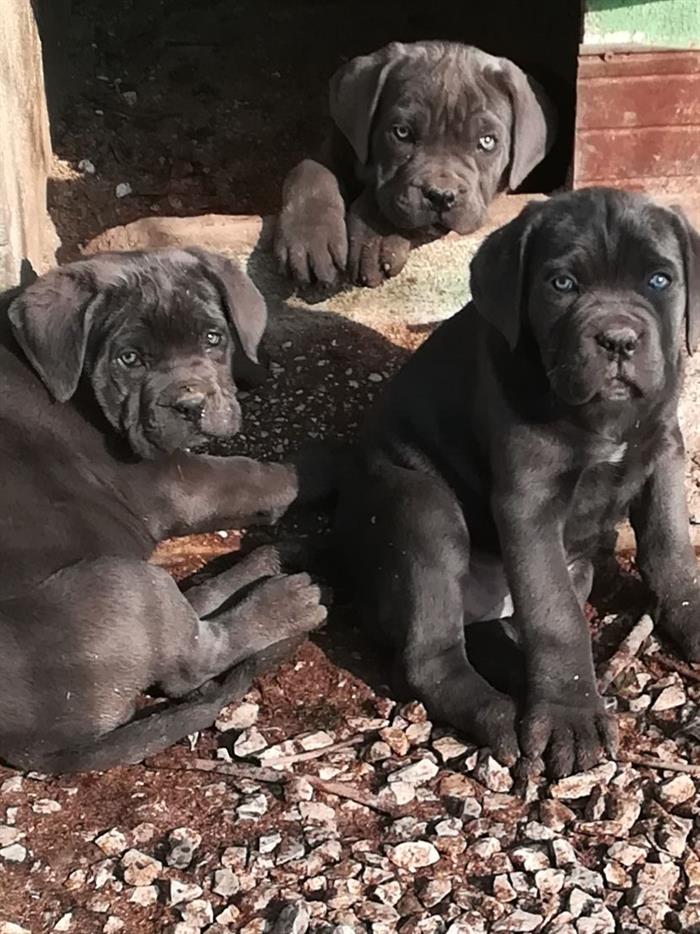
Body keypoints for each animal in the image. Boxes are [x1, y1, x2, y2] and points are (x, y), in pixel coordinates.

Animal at [0, 249, 332, 776]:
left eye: (214, 338)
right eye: (129, 358)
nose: (190, 404)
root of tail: (27, 747)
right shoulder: (176, 479)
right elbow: (256, 475)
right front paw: (337, 459)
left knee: (189, 608)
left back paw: (266, 563)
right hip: (117, 586)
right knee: (189, 661)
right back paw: (283, 602)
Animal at [276, 40, 556, 288]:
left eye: (487, 142)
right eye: (401, 132)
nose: (441, 196)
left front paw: (377, 235)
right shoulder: (336, 148)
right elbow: (309, 170)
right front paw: (309, 239)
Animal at [334, 186, 700, 780]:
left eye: (660, 280)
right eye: (562, 284)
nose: (618, 340)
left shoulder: (664, 446)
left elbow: (671, 546)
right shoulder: (530, 499)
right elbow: (555, 614)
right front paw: (571, 717)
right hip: (423, 507)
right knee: (430, 658)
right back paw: (503, 716)